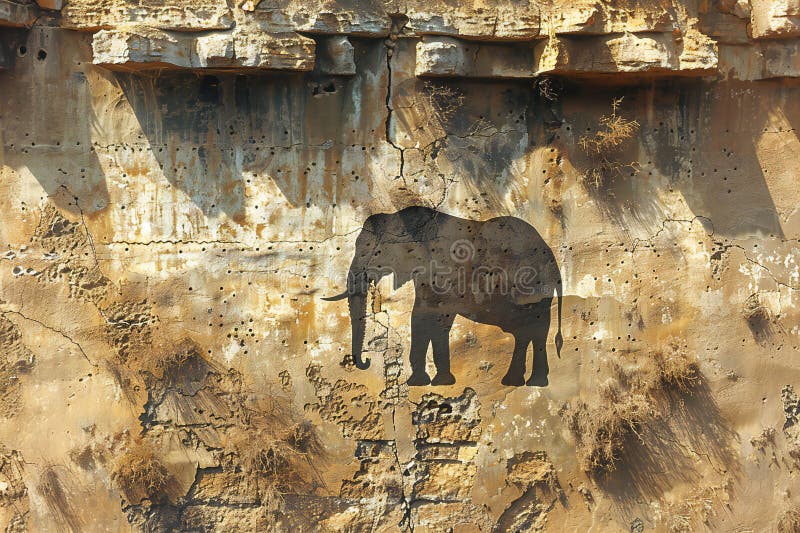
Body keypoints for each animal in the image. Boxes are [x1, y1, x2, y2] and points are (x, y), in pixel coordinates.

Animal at [323, 206, 563, 387]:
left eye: (375, 252)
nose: (366, 361)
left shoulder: (444, 273)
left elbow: (431, 317)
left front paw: (430, 383)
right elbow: (421, 316)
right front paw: (429, 382)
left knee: (532, 329)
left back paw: (526, 382)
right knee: (530, 331)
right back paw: (523, 382)